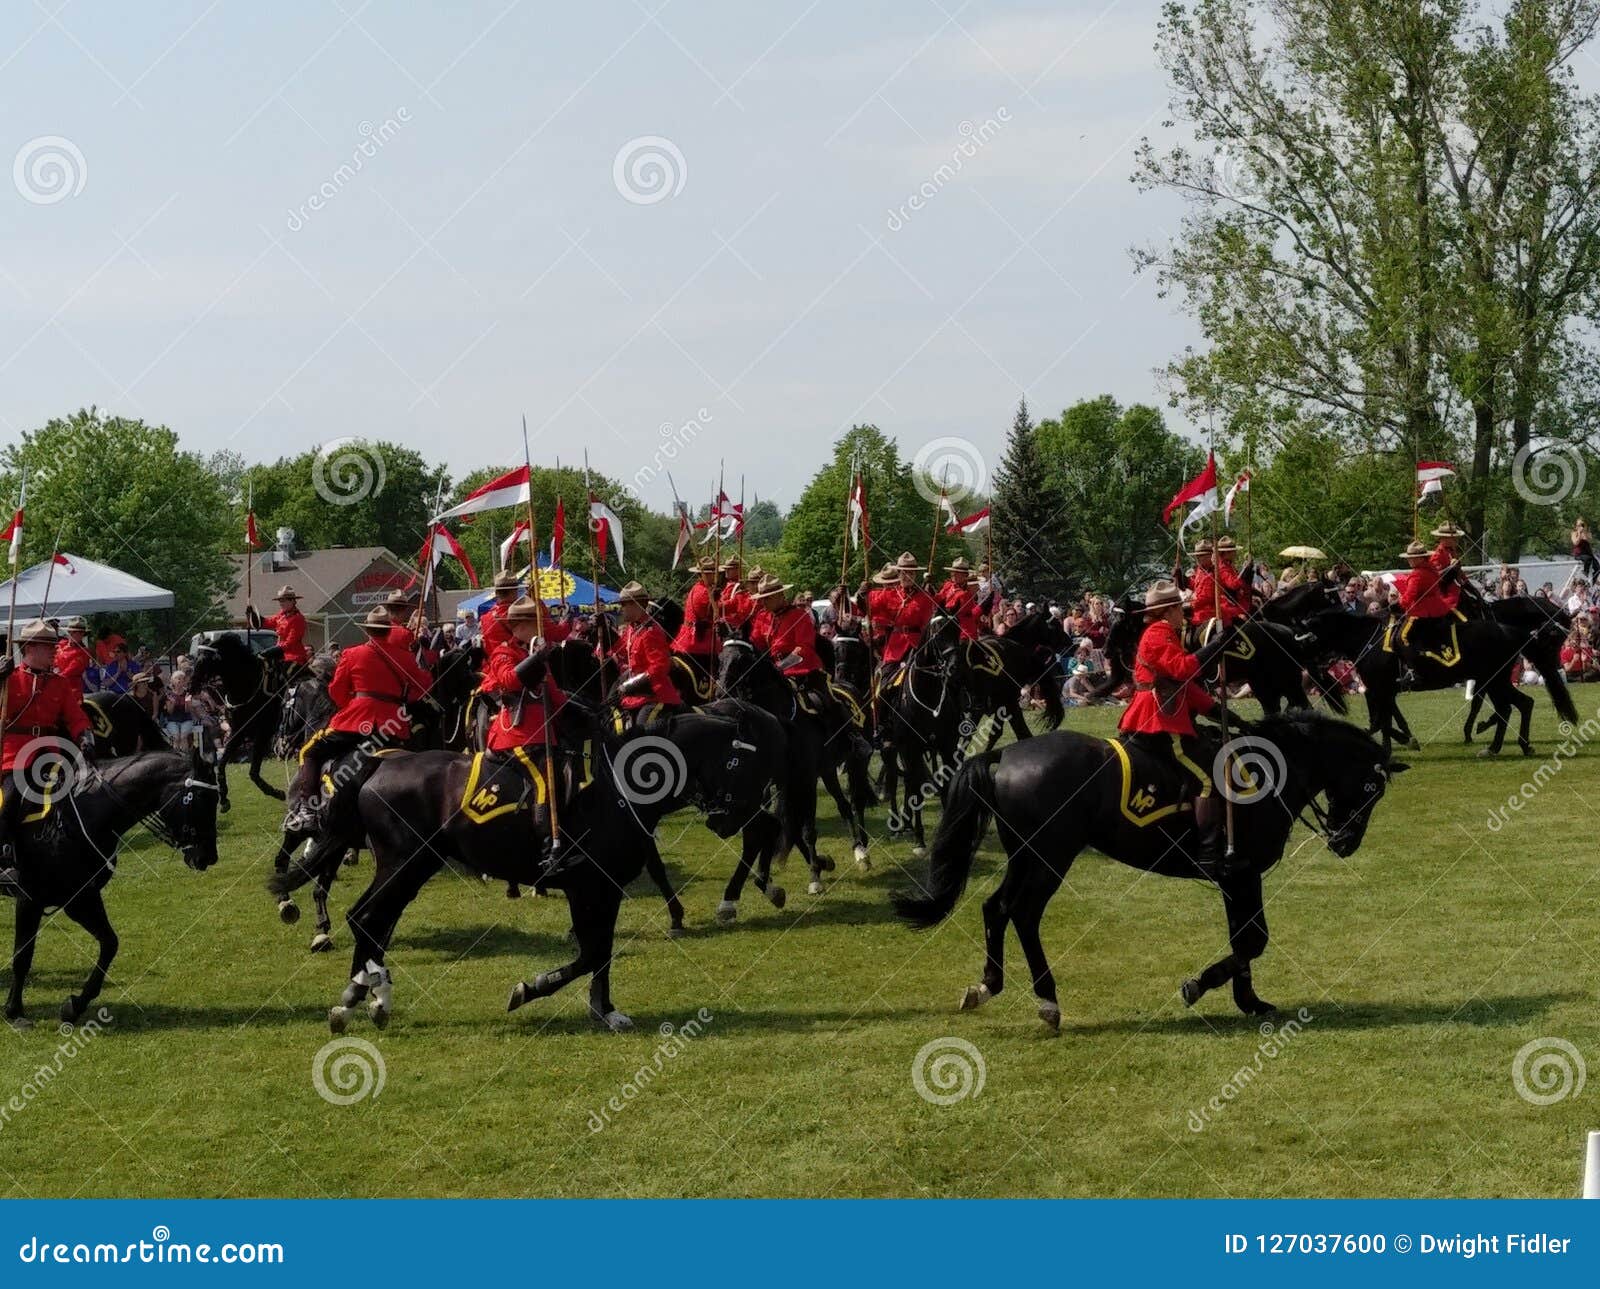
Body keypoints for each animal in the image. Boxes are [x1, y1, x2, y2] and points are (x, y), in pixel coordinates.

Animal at [5, 749, 221, 1026]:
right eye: (203, 799)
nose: (209, 856)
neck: (80, 818)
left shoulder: (81, 898)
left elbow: (110, 943)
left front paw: (75, 1005)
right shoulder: (30, 899)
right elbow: (22, 956)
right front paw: (14, 1011)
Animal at [189, 632, 286, 811]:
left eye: (205, 660)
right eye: (194, 658)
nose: (190, 686)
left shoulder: (264, 731)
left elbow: (253, 771)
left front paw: (276, 792)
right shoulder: (239, 731)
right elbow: (221, 763)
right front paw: (223, 798)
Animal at [296, 706, 788, 1033]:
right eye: (744, 761)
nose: (733, 819)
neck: (617, 792)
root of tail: (380, 763)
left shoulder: (600, 890)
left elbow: (601, 953)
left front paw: (604, 1009)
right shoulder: (591, 888)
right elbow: (591, 953)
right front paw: (530, 988)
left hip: (410, 868)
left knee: (372, 920)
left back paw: (362, 997)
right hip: (404, 864)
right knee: (366, 917)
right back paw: (364, 995)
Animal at [716, 639, 876, 901]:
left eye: (740, 660)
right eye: (720, 657)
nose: (720, 692)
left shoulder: (806, 781)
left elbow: (808, 830)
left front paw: (814, 879)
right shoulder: (782, 784)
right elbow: (791, 828)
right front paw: (821, 864)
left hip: (856, 763)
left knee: (857, 801)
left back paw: (862, 851)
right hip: (828, 771)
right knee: (843, 805)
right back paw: (855, 848)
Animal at [892, 711, 1406, 1029]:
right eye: (1371, 788)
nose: (1345, 843)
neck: (1270, 770)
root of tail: (1008, 755)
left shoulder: (1237, 877)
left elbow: (1245, 937)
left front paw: (1249, 1001)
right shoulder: (1240, 873)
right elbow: (1252, 939)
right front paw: (1198, 985)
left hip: (1026, 856)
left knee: (996, 908)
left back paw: (988, 985)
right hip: (1050, 858)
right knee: (1023, 913)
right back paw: (1048, 1001)